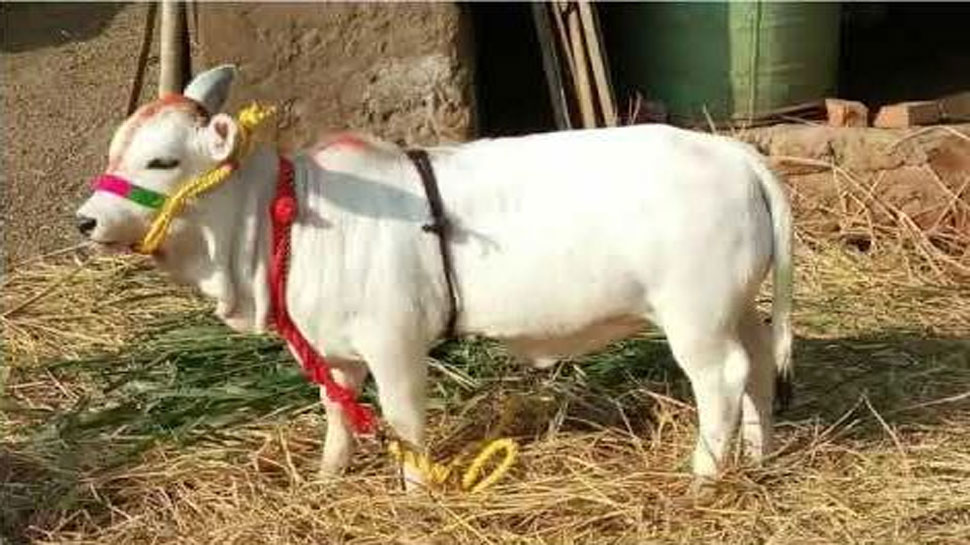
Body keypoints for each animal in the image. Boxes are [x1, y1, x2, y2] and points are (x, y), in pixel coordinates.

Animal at [75, 65, 792, 493]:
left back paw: (703, 475)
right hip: (735, 305)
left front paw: (416, 491)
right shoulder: (333, 351)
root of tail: (731, 151)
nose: (86, 220)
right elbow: (338, 412)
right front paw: (328, 477)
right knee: (759, 362)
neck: (287, 220)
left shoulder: (393, 341)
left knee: (722, 380)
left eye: (161, 161)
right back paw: (758, 453)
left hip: (694, 316)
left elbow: (403, 417)